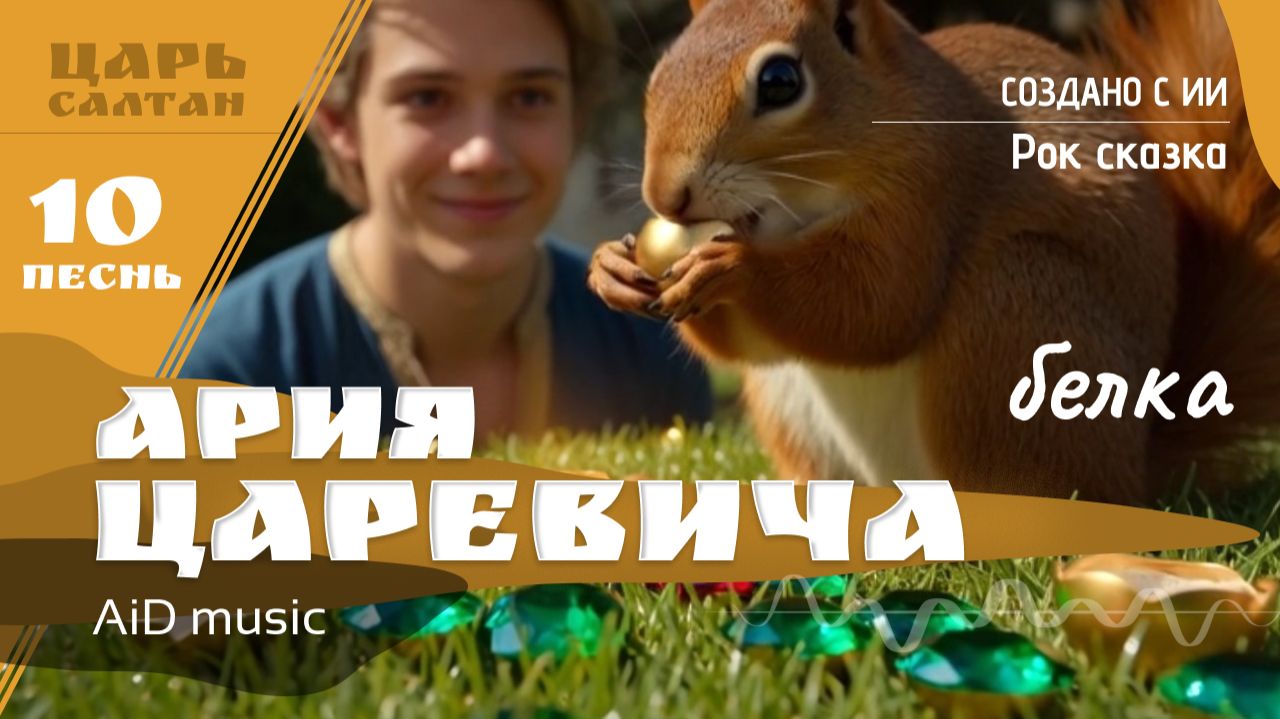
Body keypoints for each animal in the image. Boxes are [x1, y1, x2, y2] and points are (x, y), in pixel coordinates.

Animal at [588, 0, 1280, 504]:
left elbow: (877, 307)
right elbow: (754, 344)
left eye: (781, 82)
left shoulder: (930, 189)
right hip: (792, 415)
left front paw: (736, 270)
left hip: (1016, 313)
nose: (665, 195)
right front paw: (609, 268)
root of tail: (1137, 466)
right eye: (659, 75)